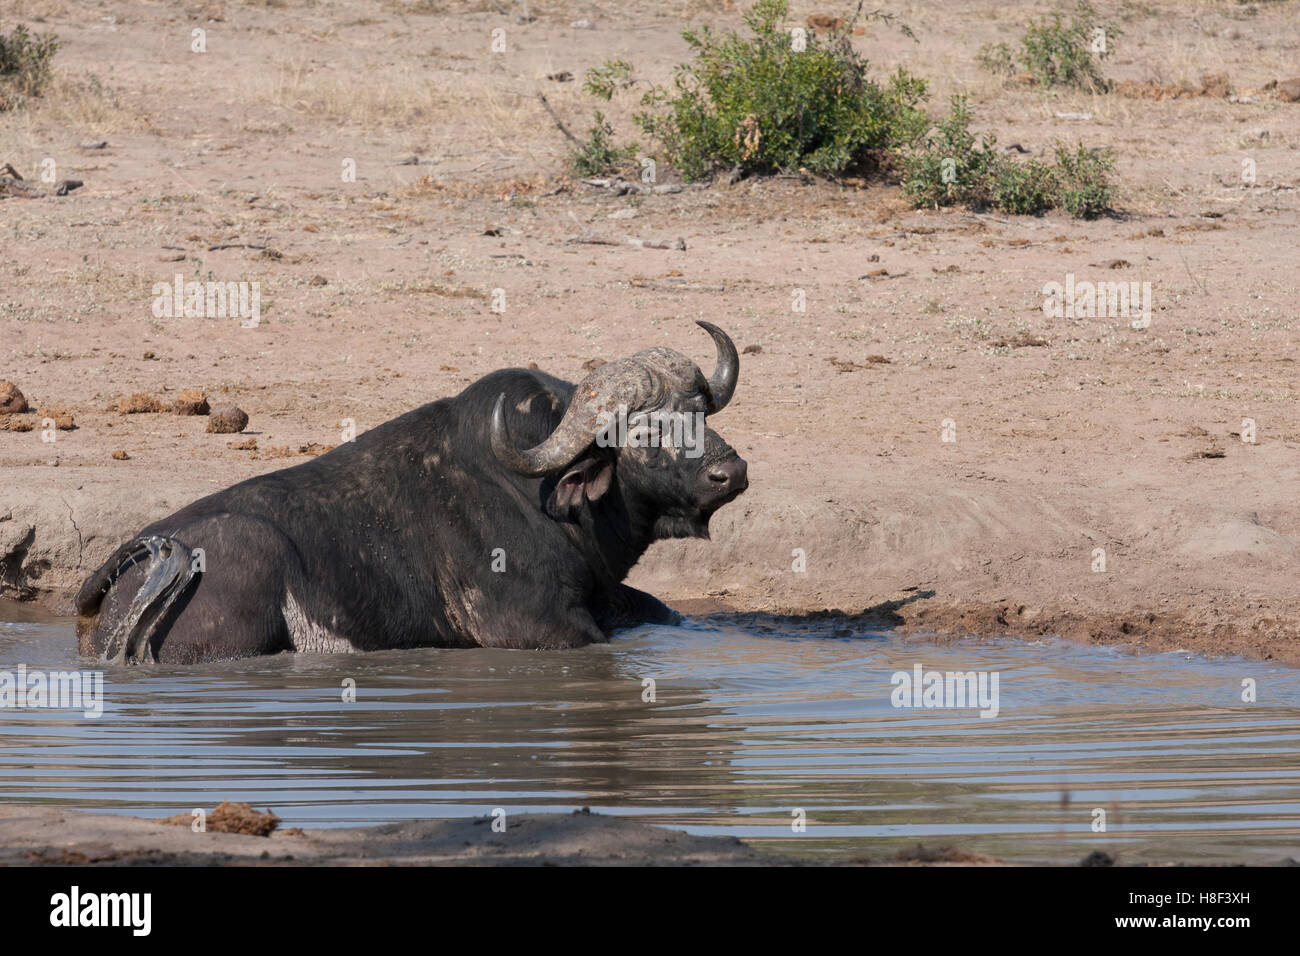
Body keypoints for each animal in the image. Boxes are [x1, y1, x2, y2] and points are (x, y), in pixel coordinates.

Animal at [76, 322, 748, 663]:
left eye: (698, 412)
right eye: (644, 431)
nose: (731, 472)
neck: (552, 497)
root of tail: (148, 560)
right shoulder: (540, 629)